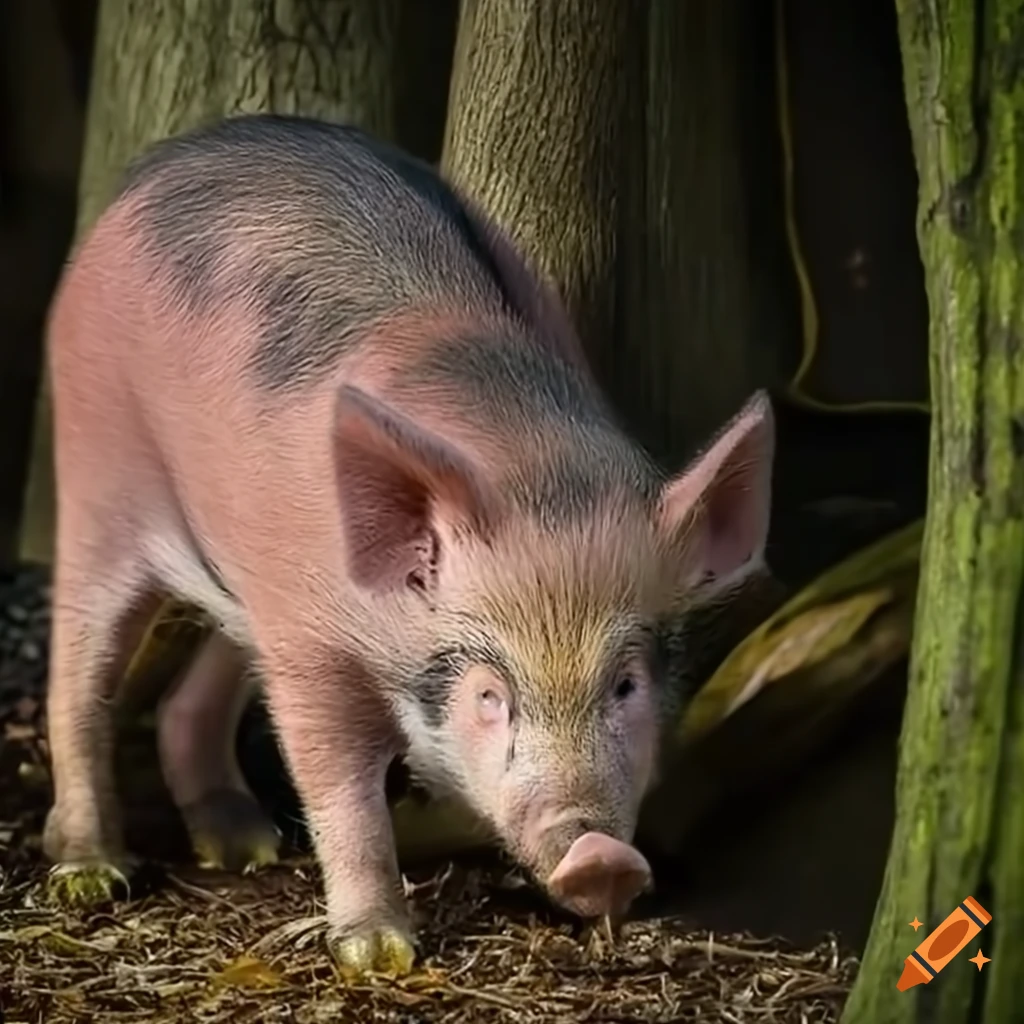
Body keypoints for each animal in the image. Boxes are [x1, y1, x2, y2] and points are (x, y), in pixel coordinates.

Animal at [42, 114, 774, 975]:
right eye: (489, 695)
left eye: (626, 684)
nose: (598, 857)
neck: (537, 466)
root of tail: (153, 170)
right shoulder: (312, 650)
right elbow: (339, 783)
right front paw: (378, 956)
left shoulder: (295, 608)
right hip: (96, 468)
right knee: (77, 672)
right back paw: (91, 872)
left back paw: (247, 849)